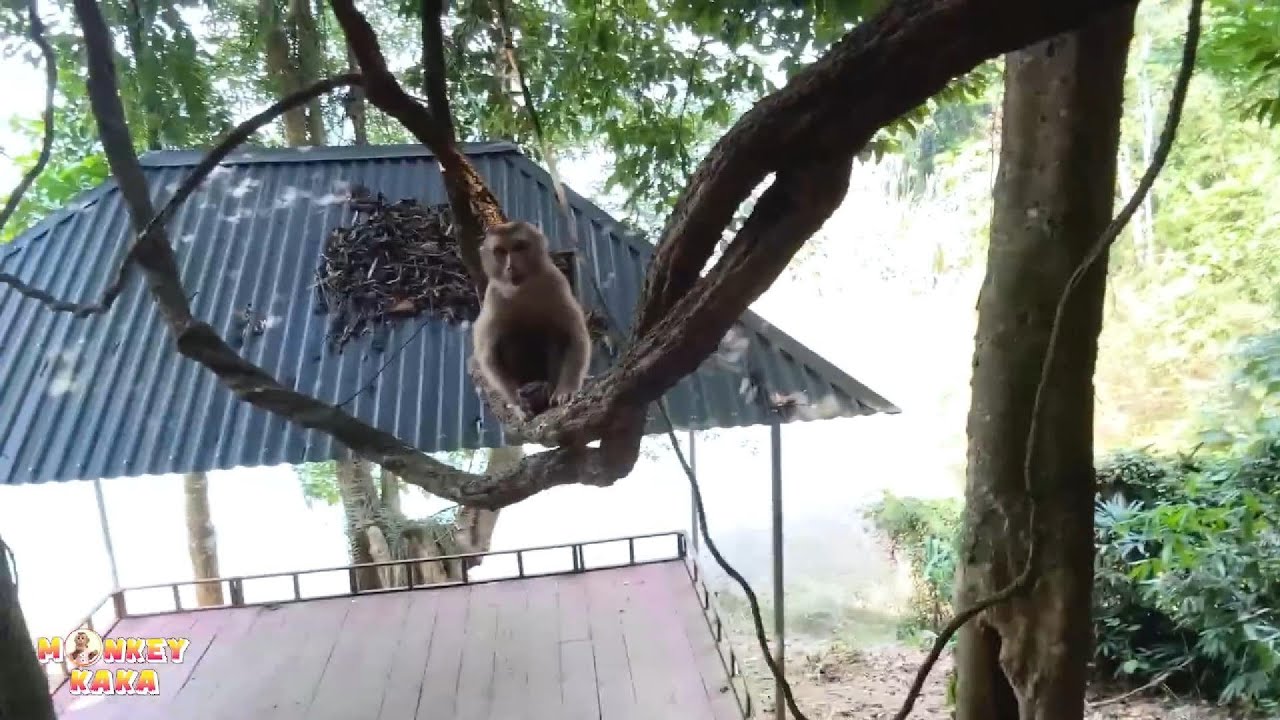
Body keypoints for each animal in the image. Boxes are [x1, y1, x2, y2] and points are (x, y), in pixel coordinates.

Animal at [470, 220, 591, 418]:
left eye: (519, 247)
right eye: (500, 251)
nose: (510, 267)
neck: (523, 289)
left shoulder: (556, 282)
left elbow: (574, 336)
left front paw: (566, 390)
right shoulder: (493, 296)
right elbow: (487, 353)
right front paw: (518, 405)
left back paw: (545, 389)